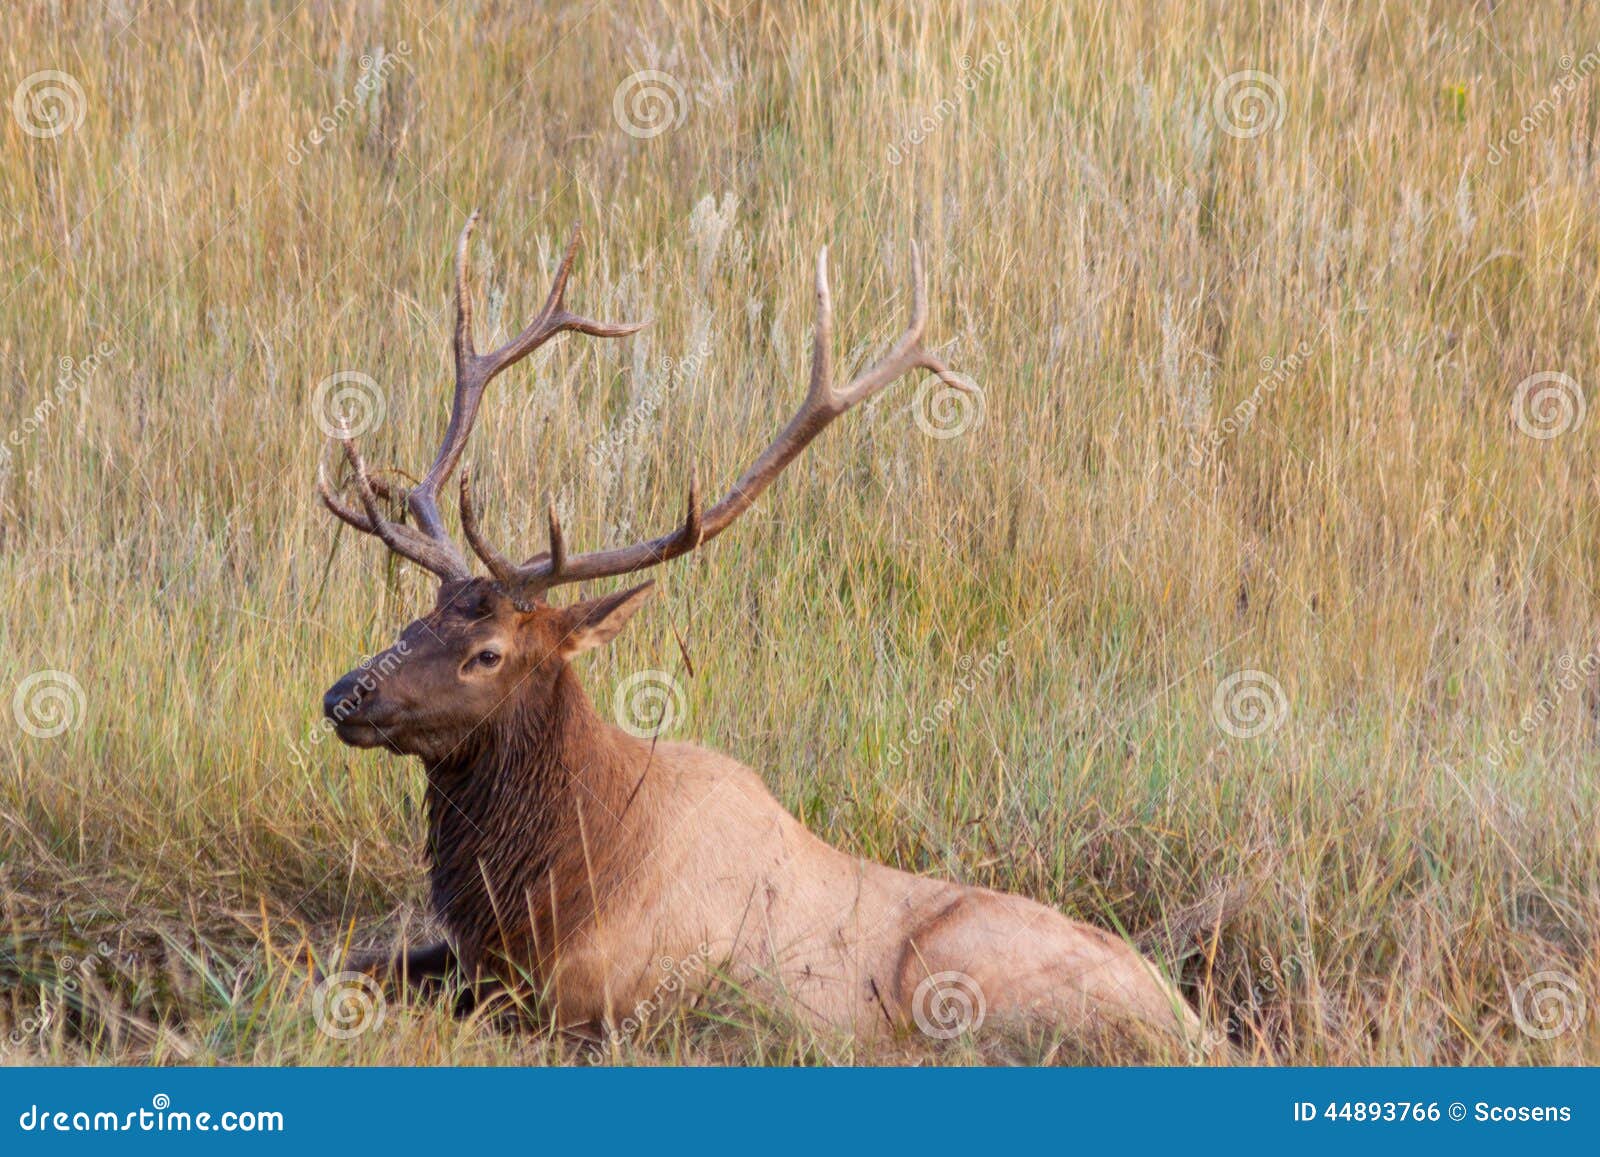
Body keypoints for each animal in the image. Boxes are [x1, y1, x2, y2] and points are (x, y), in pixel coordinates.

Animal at [316, 210, 1199, 1053]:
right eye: (414, 620)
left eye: (487, 653)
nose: (342, 695)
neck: (553, 882)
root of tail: (1191, 1022)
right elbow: (346, 963)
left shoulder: (606, 1004)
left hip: (957, 967)